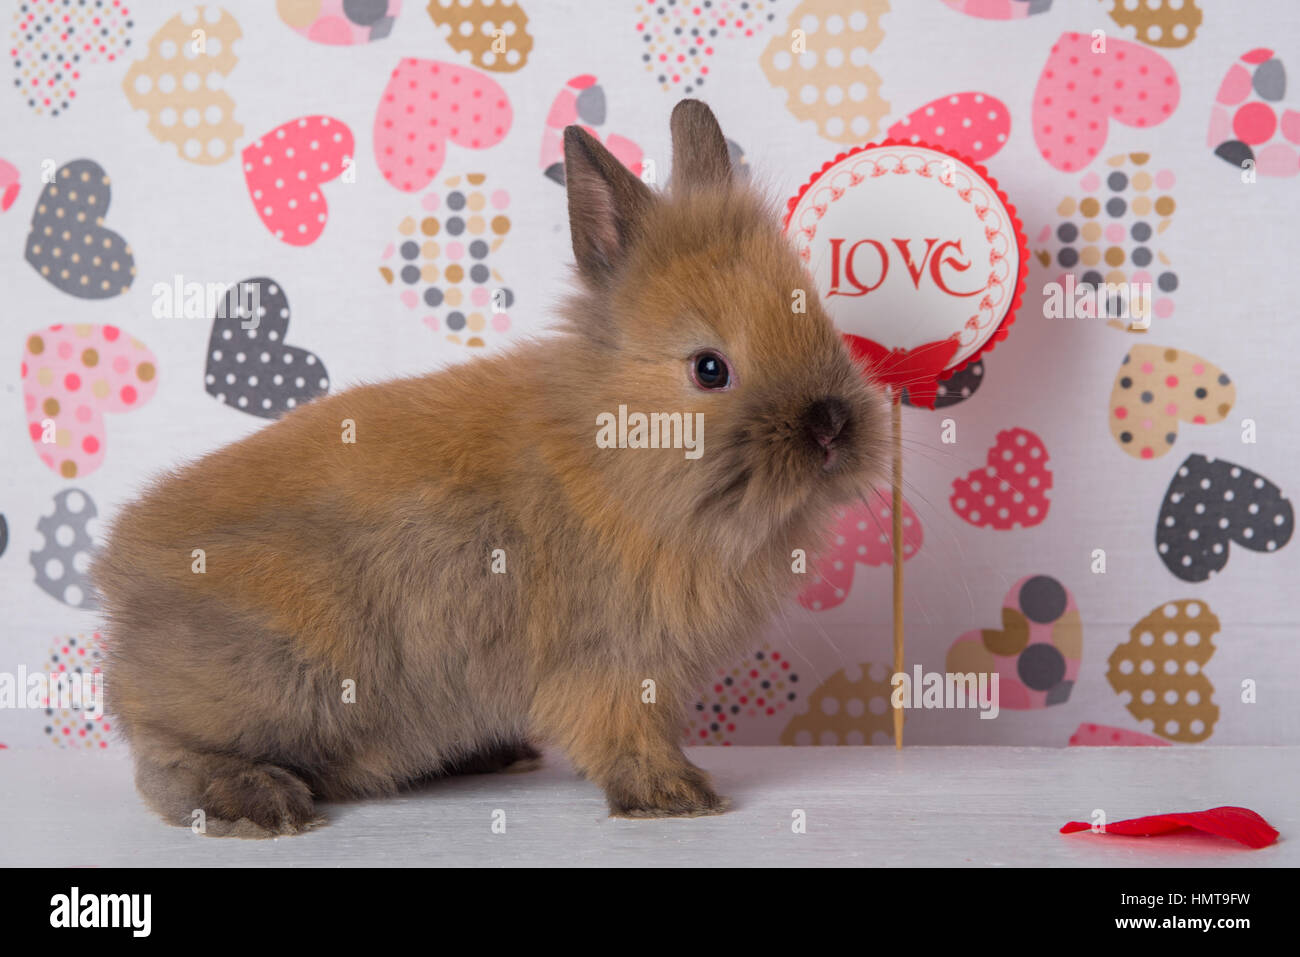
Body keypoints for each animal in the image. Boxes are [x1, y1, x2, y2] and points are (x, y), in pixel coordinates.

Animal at [92, 99, 889, 837]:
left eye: (820, 320)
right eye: (710, 368)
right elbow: (625, 735)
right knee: (163, 758)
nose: (831, 427)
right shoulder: (611, 665)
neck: (608, 457)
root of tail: (118, 581)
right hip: (282, 675)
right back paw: (262, 804)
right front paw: (679, 796)